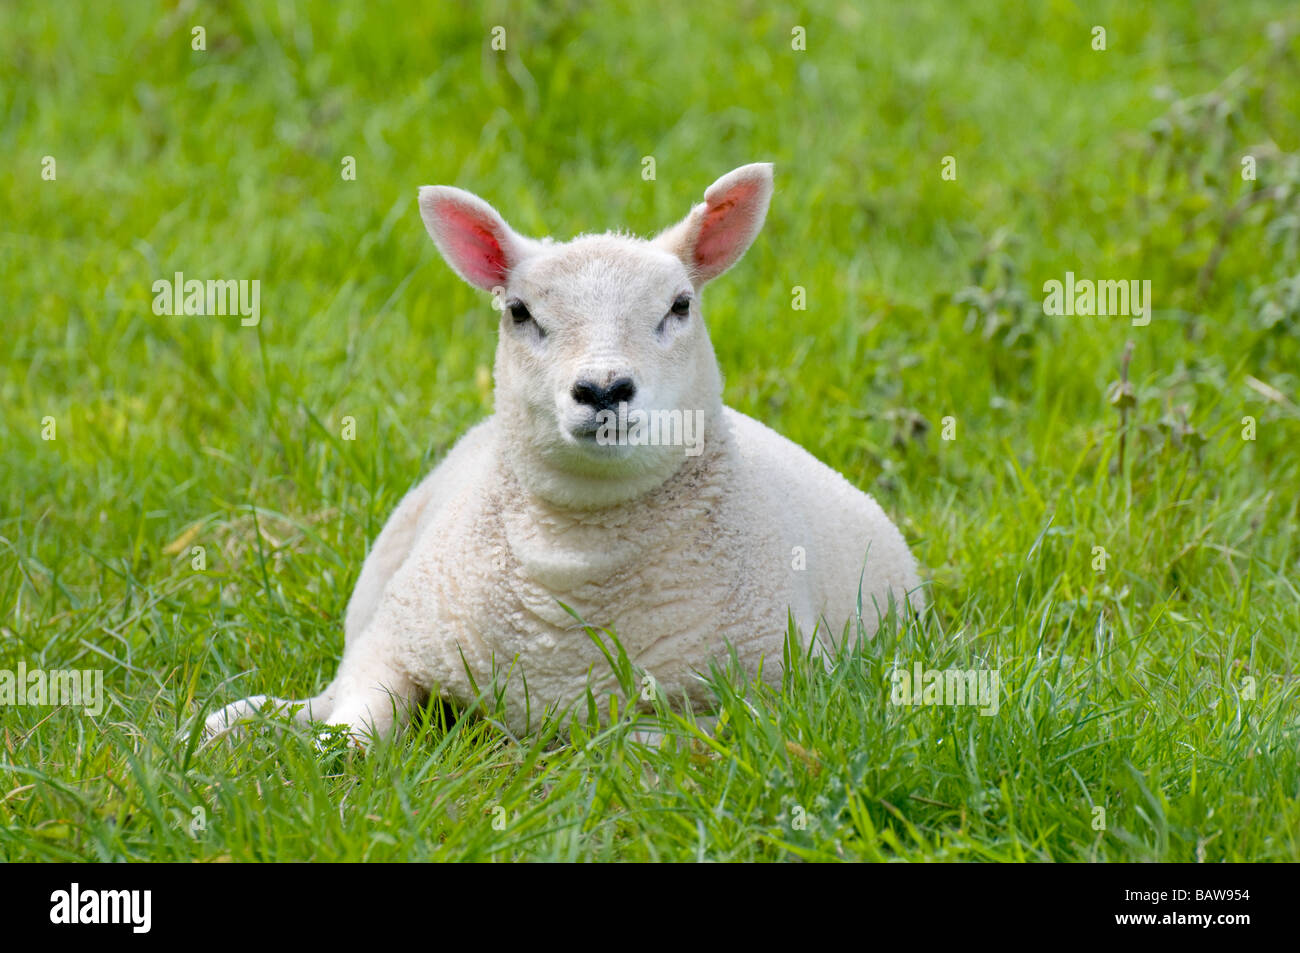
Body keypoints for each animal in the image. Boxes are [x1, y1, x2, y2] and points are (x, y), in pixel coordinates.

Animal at [205, 163, 924, 745]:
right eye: (520, 312)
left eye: (680, 305)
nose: (603, 389)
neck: (574, 562)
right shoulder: (395, 643)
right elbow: (355, 734)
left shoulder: (770, 695)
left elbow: (653, 741)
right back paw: (240, 722)